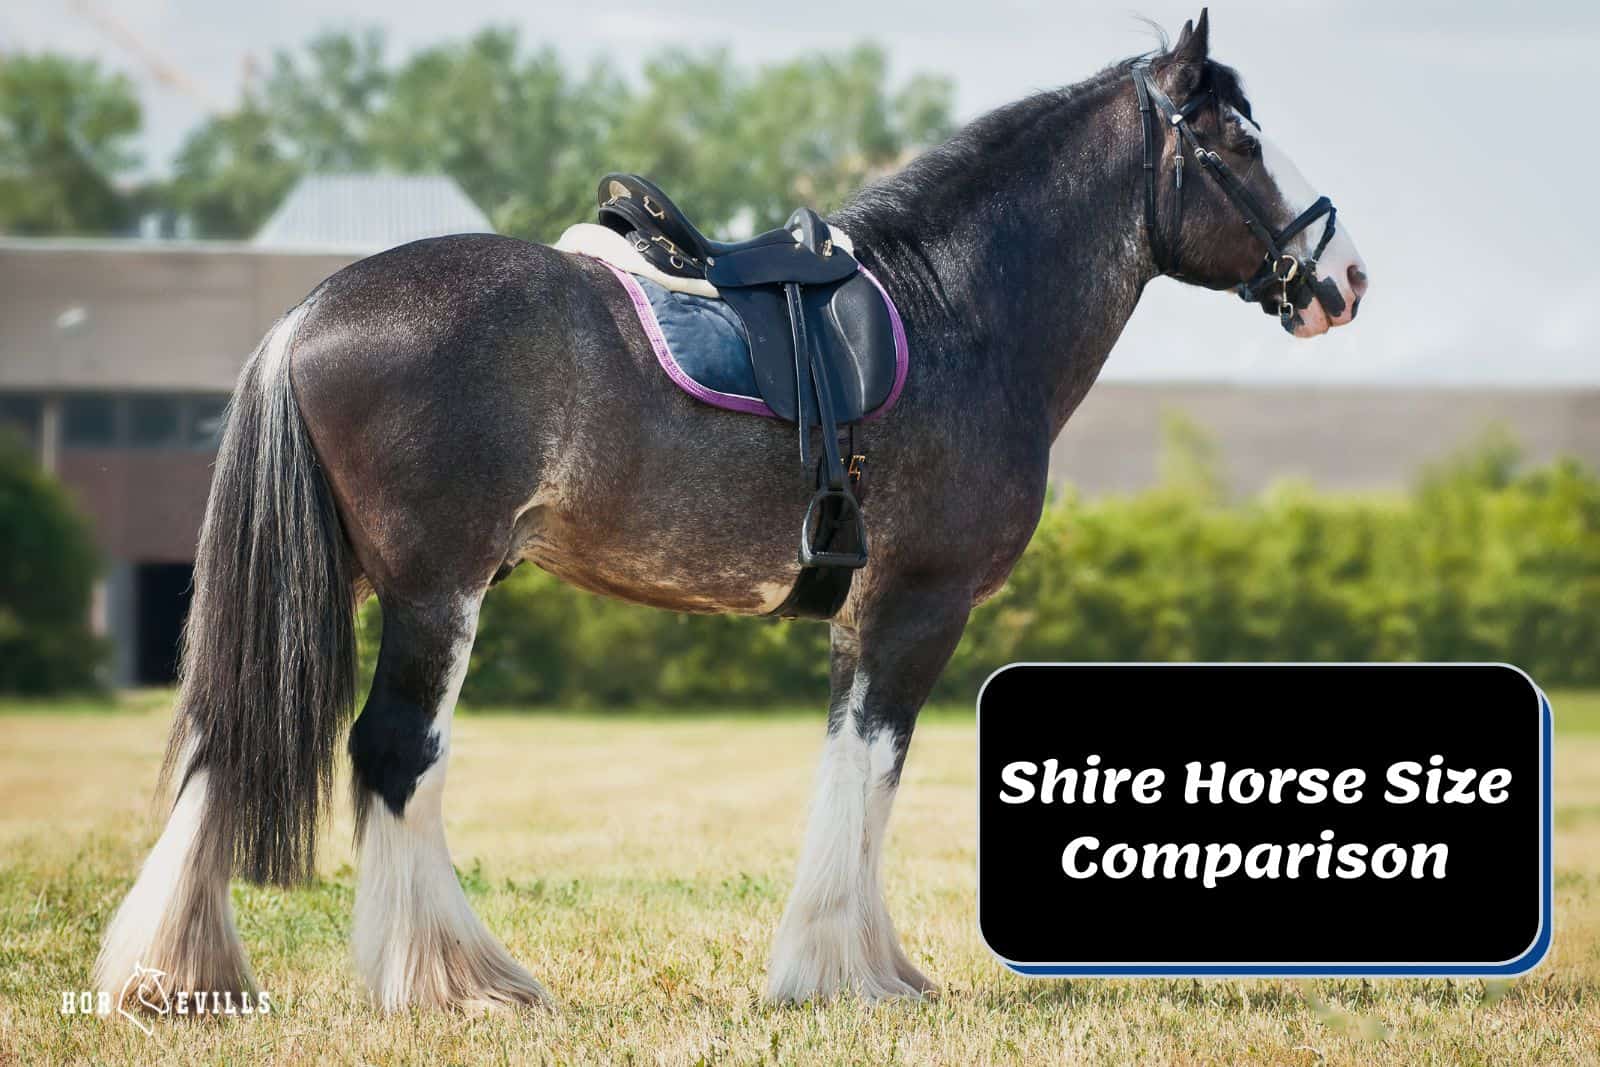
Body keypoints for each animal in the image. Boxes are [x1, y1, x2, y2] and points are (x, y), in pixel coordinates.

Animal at [96, 11, 1367, 1012]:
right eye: (1231, 141)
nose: (1343, 276)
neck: (957, 314)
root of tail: (307, 314)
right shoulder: (918, 605)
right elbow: (870, 770)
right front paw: (845, 973)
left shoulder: (868, 615)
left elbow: (852, 769)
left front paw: (854, 964)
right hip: (432, 591)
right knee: (396, 751)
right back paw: (455, 978)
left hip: (332, 580)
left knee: (227, 728)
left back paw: (176, 973)